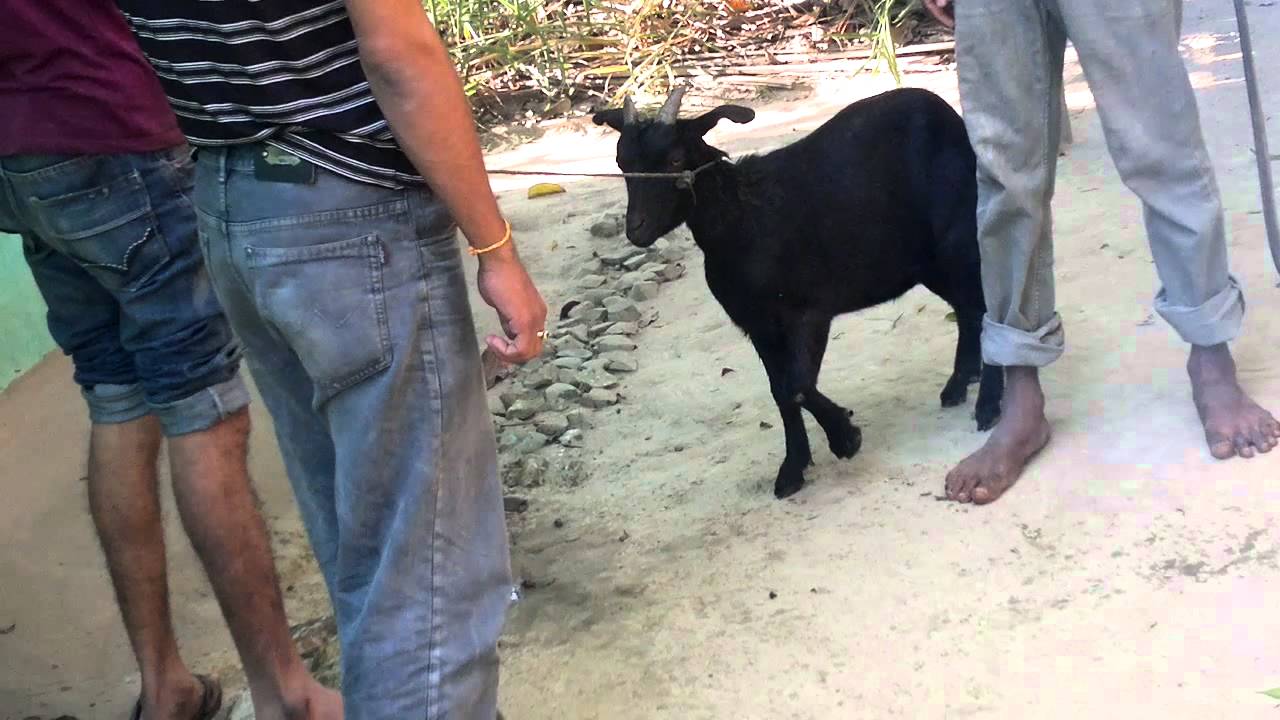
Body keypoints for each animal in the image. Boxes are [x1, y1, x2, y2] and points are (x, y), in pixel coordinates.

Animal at [593, 87, 1004, 499]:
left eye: (676, 159)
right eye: (621, 161)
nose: (637, 229)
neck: (742, 220)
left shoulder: (807, 312)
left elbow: (798, 385)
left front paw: (845, 437)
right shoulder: (758, 325)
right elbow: (780, 391)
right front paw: (793, 468)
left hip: (957, 239)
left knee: (983, 308)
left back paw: (987, 406)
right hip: (928, 261)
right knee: (967, 310)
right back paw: (959, 384)